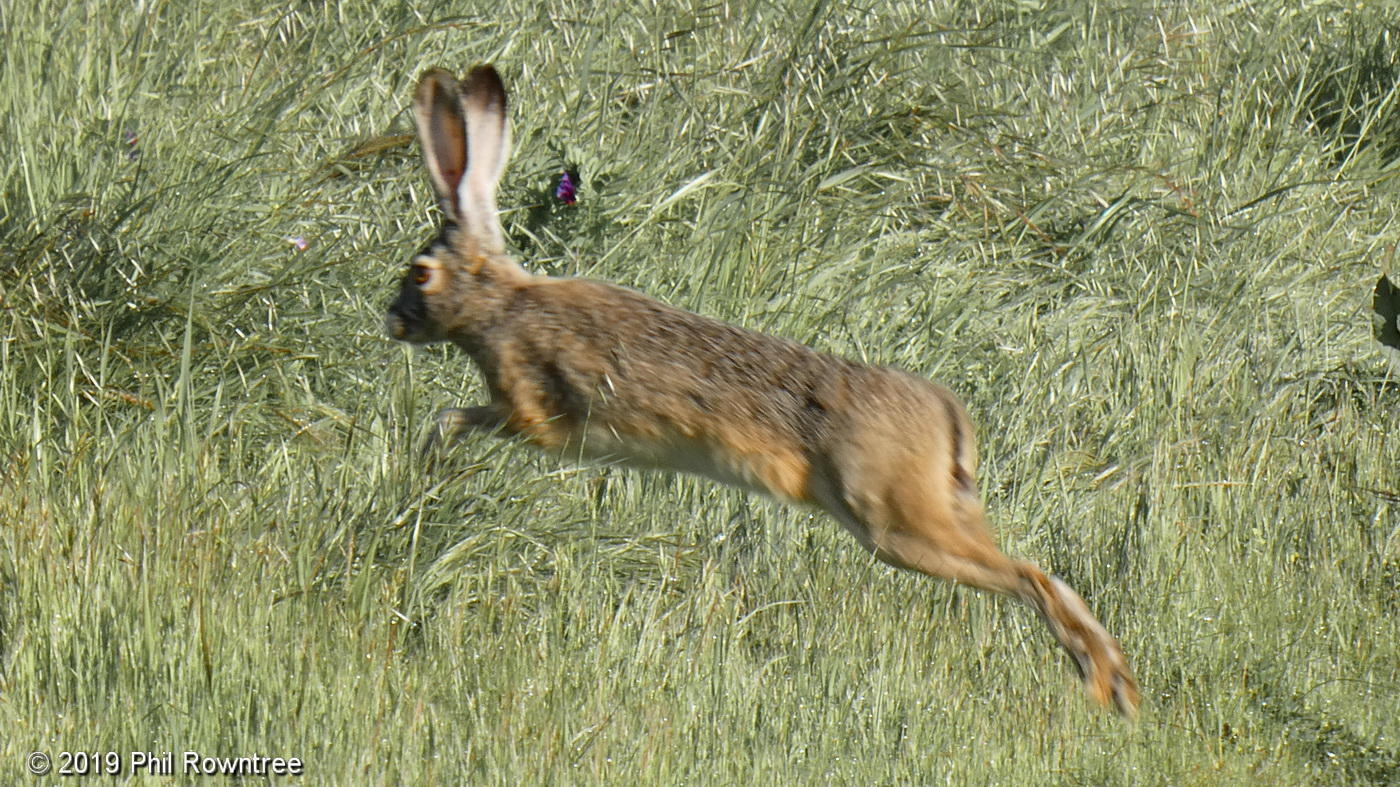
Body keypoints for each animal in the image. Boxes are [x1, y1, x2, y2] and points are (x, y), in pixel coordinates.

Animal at [384, 64, 1140, 718]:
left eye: (419, 273)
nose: (391, 319)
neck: (500, 302)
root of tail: (944, 413)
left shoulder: (534, 411)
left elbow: (468, 415)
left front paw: (431, 450)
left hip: (895, 523)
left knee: (1031, 576)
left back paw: (1103, 682)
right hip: (935, 513)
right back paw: (1118, 680)